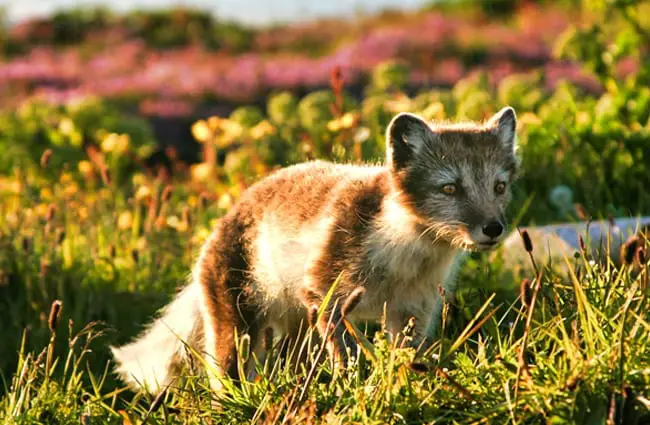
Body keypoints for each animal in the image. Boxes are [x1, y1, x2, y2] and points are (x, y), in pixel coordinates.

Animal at [111, 106, 520, 394]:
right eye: (450, 188)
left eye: (499, 187)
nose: (493, 229)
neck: (403, 256)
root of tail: (227, 216)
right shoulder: (326, 293)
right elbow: (348, 356)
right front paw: (353, 386)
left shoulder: (412, 312)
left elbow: (407, 358)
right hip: (239, 329)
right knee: (225, 378)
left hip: (296, 330)